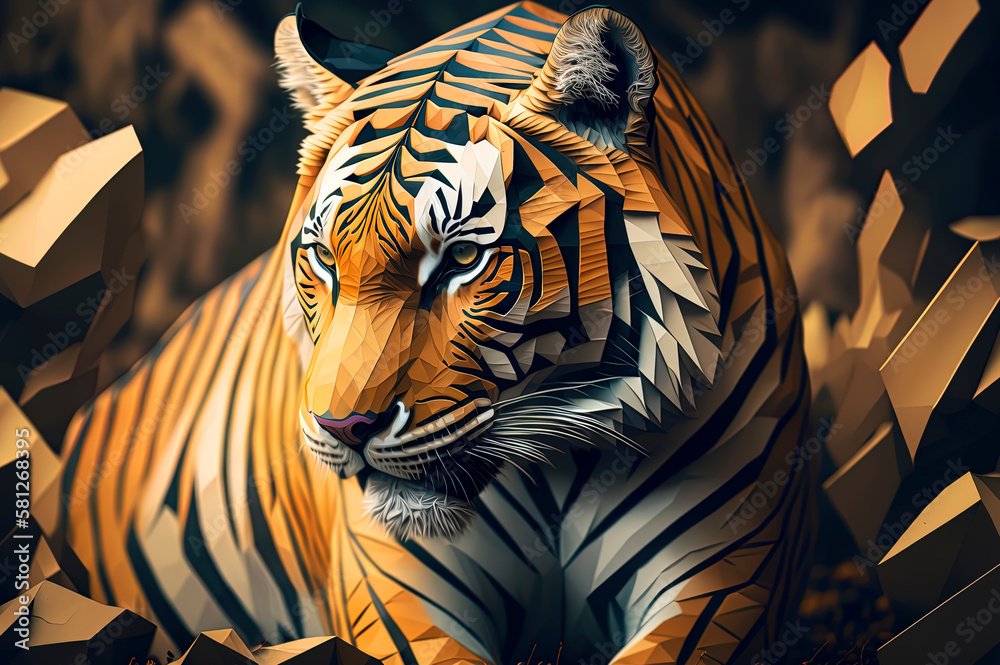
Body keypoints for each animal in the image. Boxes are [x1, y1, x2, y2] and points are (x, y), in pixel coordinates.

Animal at [56, 3, 814, 664]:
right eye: (325, 259)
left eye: (460, 260)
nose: (343, 428)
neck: (558, 466)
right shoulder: (402, 598)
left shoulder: (721, 575)